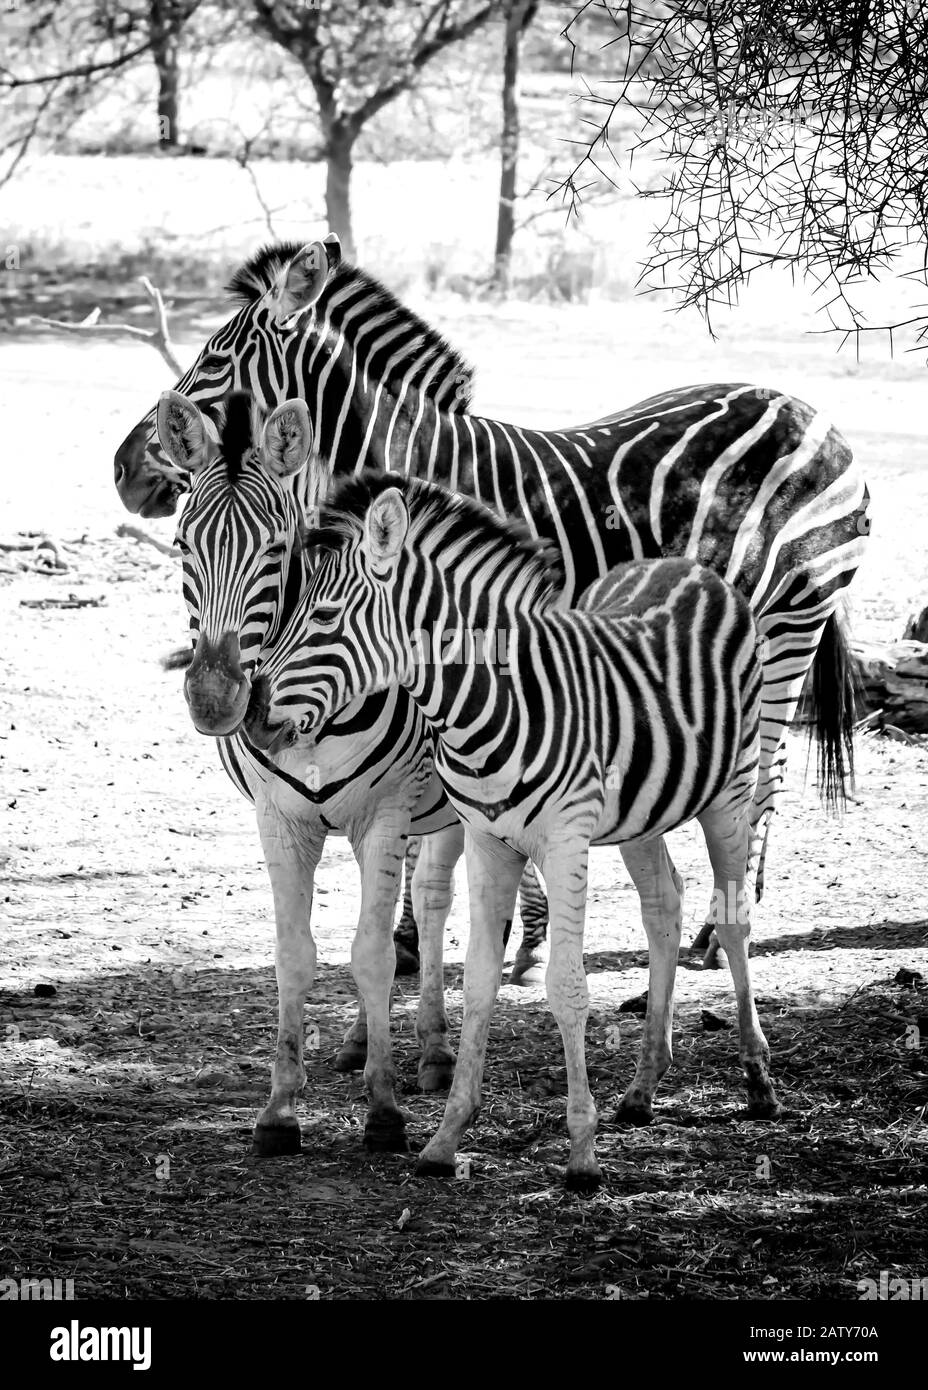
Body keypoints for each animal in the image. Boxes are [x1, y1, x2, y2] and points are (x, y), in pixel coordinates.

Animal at [113, 234, 868, 967]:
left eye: (213, 359)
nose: (122, 472)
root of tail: (807, 408)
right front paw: (499, 930)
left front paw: (465, 933)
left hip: (791, 623)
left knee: (765, 775)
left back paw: (718, 930)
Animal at [246, 472, 782, 1191]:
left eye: (326, 618)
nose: (251, 717)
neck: (486, 705)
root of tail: (689, 565)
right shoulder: (486, 839)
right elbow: (477, 981)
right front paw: (445, 1139)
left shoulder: (564, 840)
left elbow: (566, 987)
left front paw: (582, 1155)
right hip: (642, 815)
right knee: (664, 905)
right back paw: (642, 1089)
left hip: (731, 787)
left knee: (732, 916)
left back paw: (758, 1079)